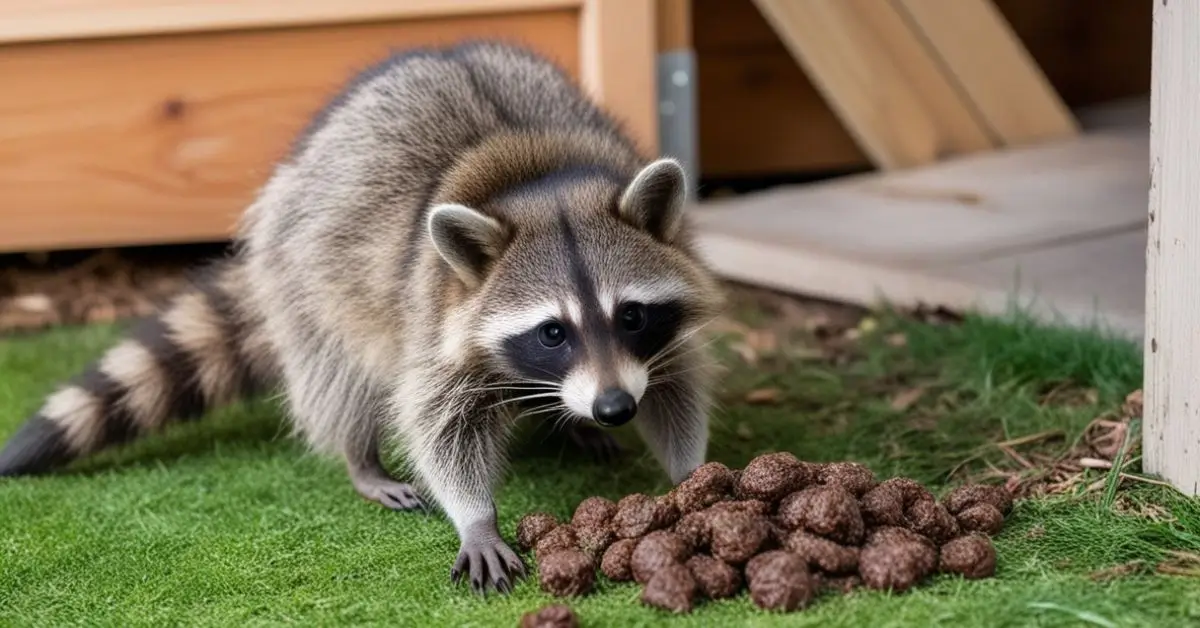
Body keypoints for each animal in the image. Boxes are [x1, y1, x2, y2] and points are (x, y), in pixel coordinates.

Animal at [0, 41, 725, 593]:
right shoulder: (434, 314)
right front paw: (476, 516)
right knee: (338, 376)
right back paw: (361, 459)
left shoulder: (657, 330)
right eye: (553, 332)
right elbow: (437, 422)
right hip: (303, 273)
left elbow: (674, 385)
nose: (612, 408)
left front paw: (688, 473)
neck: (539, 181)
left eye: (630, 316)